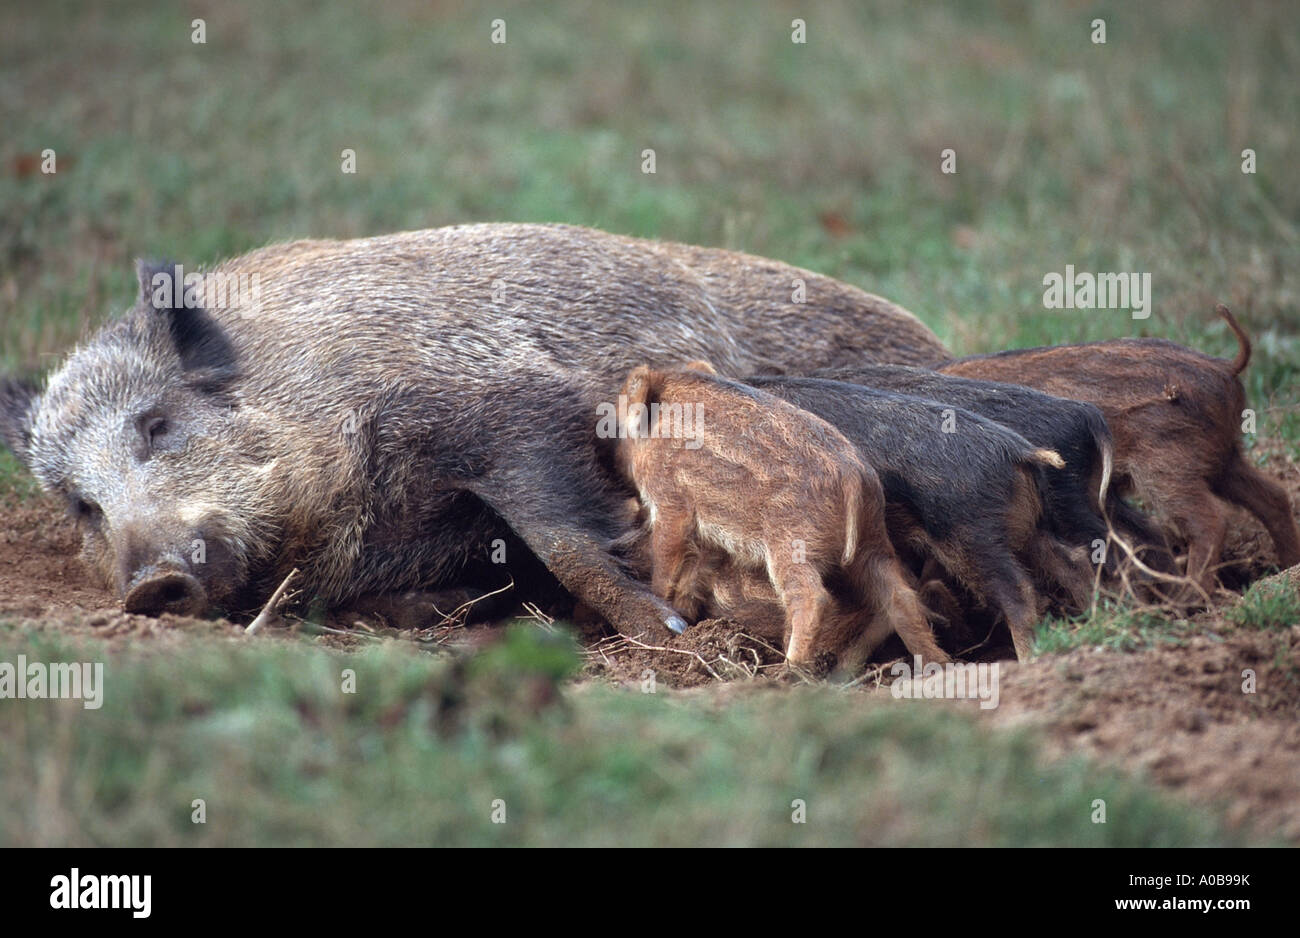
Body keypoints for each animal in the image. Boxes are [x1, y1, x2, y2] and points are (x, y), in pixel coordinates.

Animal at [0, 223, 949, 636]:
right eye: (79, 504)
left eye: (157, 425)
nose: (150, 583)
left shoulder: (505, 400)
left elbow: (562, 526)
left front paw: (661, 630)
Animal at [615, 362, 949, 672]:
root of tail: (854, 479)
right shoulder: (710, 537)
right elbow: (693, 573)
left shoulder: (672, 504)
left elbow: (666, 561)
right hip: (873, 543)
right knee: (901, 598)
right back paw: (936, 665)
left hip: (791, 545)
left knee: (812, 597)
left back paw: (787, 670)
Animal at [744, 375, 1073, 661]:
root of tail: (1019, 451)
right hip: (1031, 530)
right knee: (1070, 560)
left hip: (974, 536)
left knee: (1020, 594)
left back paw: (1027, 659)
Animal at [939, 306, 1300, 596]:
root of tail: (1225, 366)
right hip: (1225, 457)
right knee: (1273, 496)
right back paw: (1284, 569)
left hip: (1168, 467)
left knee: (1211, 520)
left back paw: (1191, 600)